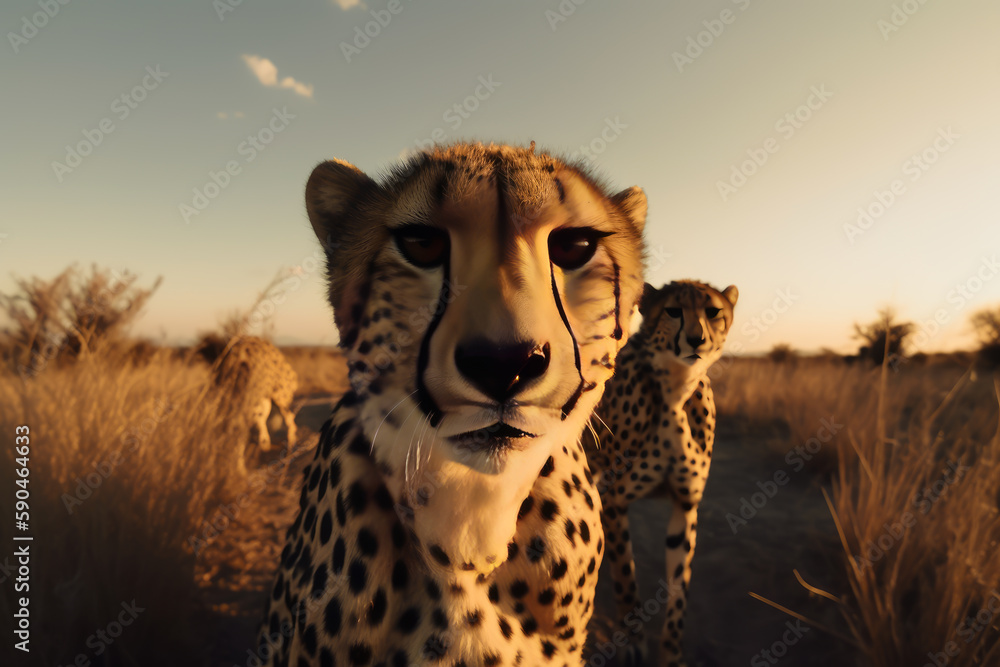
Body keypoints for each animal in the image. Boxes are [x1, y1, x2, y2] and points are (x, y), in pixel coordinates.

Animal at [584, 280, 738, 667]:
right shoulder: (613, 499)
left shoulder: (685, 505)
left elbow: (679, 591)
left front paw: (670, 654)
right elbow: (625, 577)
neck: (676, 389)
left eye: (713, 311)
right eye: (672, 311)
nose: (696, 340)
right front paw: (632, 642)